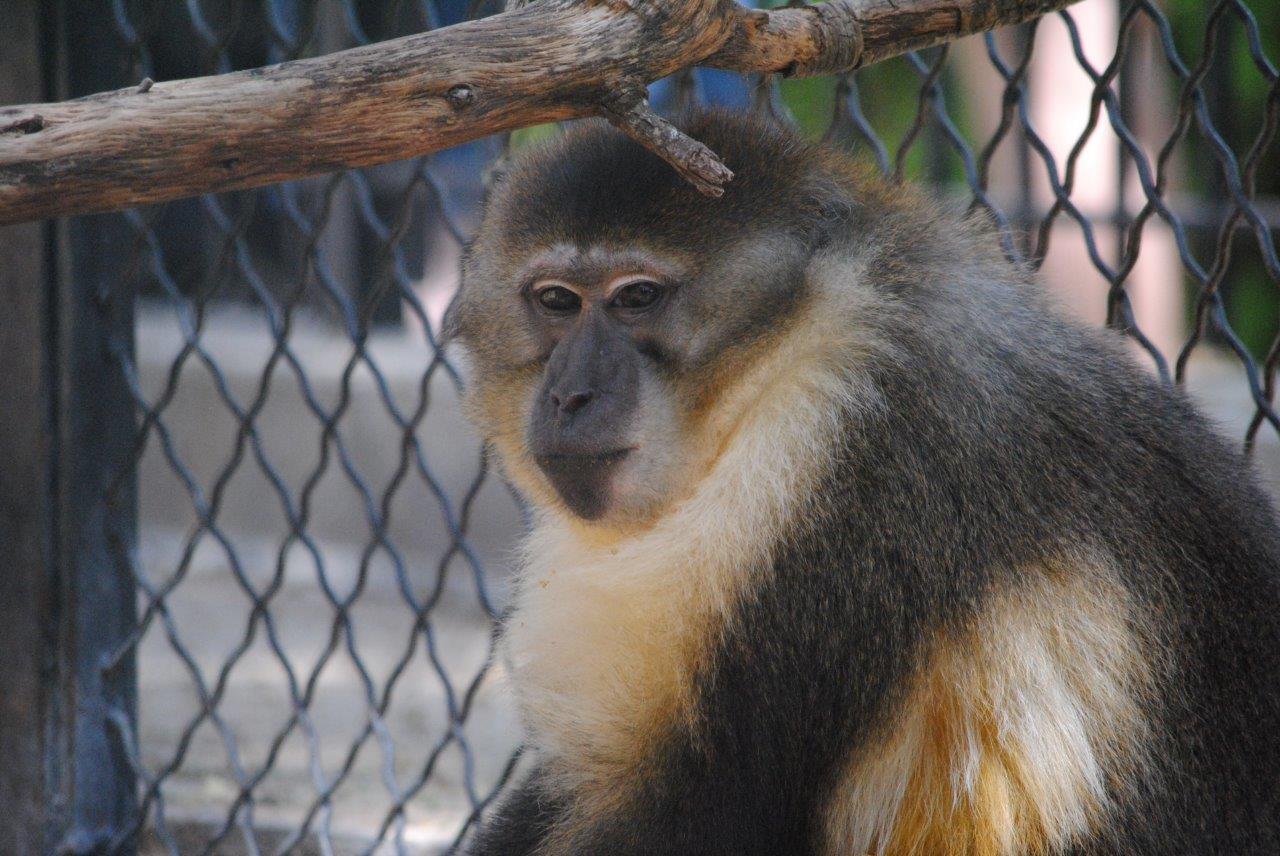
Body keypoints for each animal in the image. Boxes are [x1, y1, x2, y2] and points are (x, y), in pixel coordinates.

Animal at [444, 110, 1280, 855]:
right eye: (557, 301)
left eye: (637, 297)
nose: (571, 396)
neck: (776, 365)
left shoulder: (833, 462)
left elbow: (713, 804)